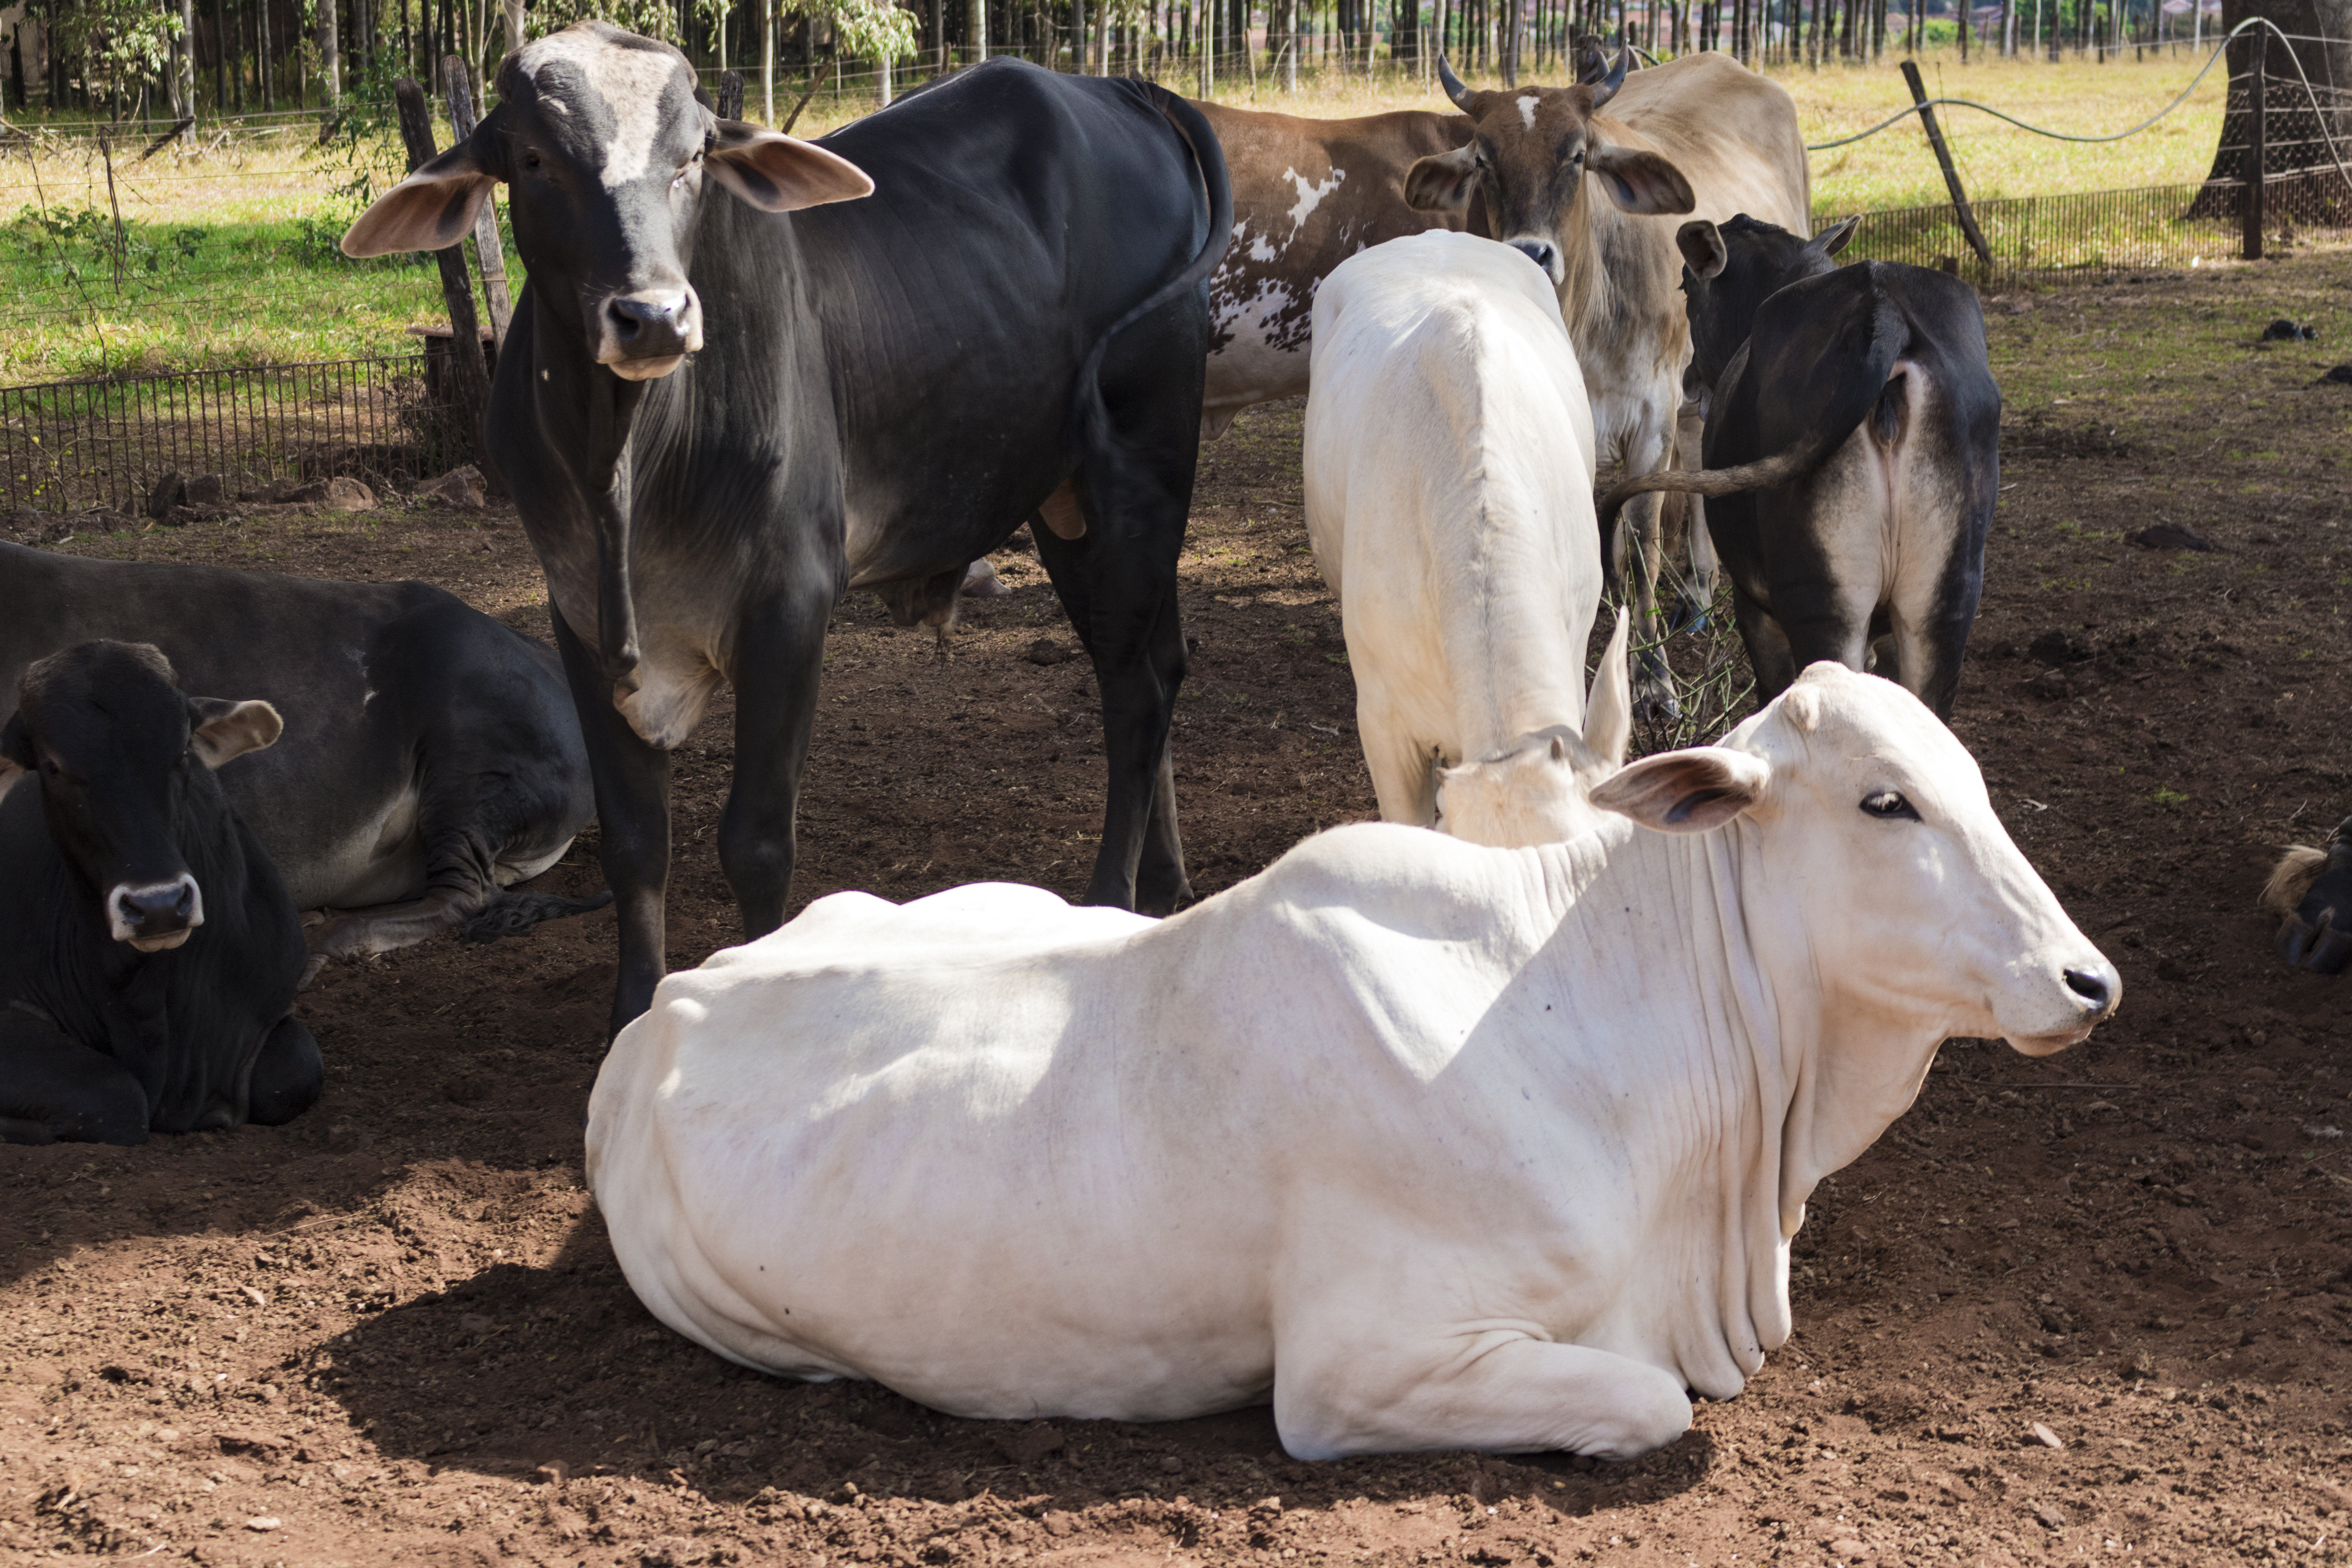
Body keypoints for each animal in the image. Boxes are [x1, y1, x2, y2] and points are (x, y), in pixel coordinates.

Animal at [0, 542, 608, 960]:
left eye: (181, 758)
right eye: (54, 767)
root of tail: (545, 656)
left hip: (470, 765)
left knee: (466, 892)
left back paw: (329, 942)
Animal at [342, 27, 1231, 1035]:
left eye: (693, 154)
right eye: (534, 159)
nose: (654, 315)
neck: (629, 463)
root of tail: (1122, 91)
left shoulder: (789, 607)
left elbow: (757, 841)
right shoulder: (583, 623)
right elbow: (636, 843)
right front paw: (631, 1019)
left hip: (1139, 467)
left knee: (1135, 688)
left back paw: (1114, 893)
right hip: (1073, 505)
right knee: (1158, 661)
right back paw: (1163, 883)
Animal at [1402, 48, 1810, 720]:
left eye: (1577, 154)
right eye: (1484, 158)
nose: (1531, 254)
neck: (1584, 321)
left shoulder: (1651, 418)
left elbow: (1641, 543)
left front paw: (1652, 681)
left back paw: (1698, 592)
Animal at [1597, 215, 2000, 721]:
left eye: (1686, 285)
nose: (1689, 379)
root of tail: (1882, 316)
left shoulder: (1754, 605)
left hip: (1823, 608)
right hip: (1942, 610)